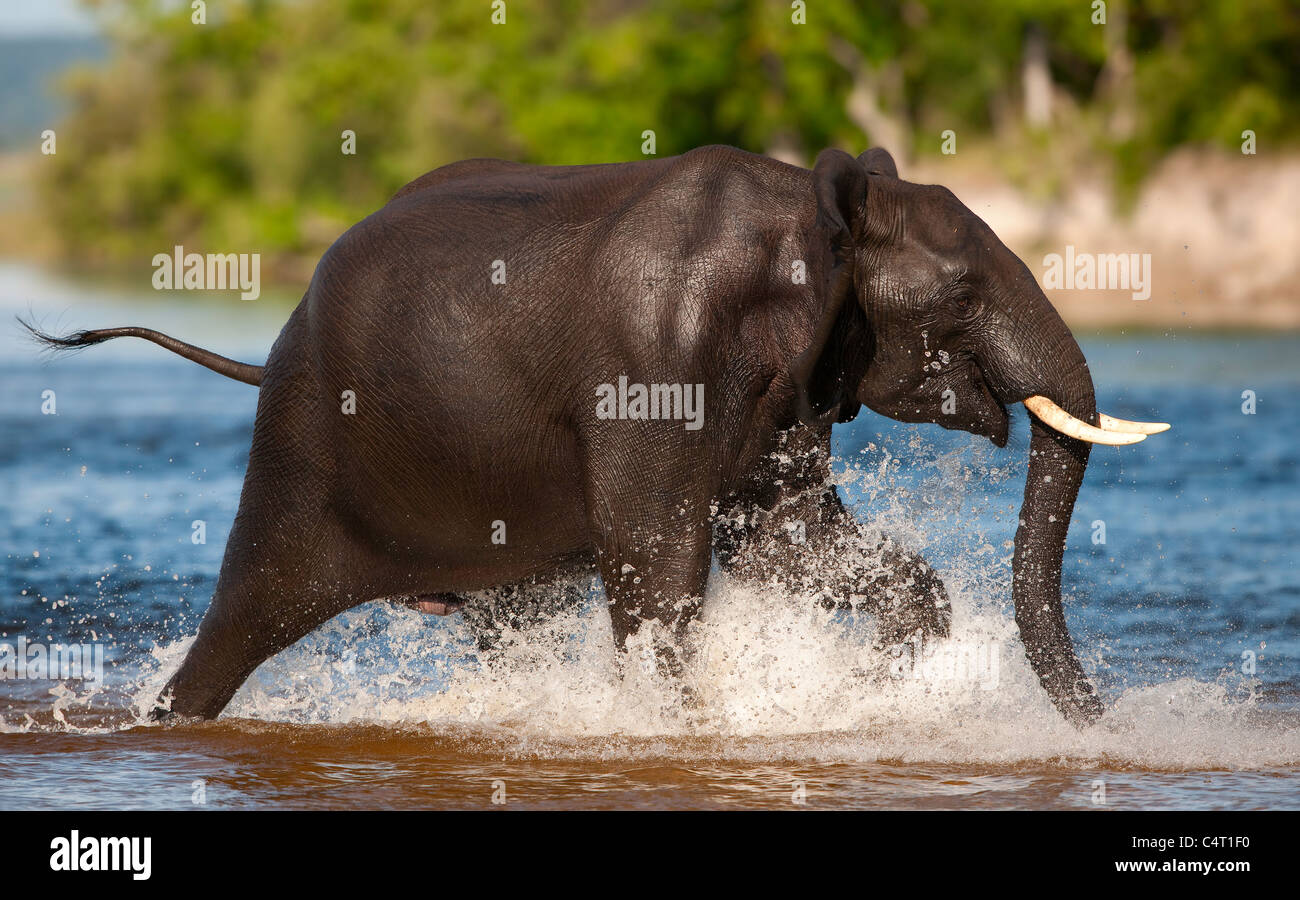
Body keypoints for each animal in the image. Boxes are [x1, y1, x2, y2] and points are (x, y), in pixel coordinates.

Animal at [26, 144, 1167, 726]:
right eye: (965, 292)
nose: (1096, 727)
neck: (804, 210)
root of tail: (274, 347)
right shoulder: (651, 368)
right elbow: (659, 569)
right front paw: (683, 730)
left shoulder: (783, 385)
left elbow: (789, 539)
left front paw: (872, 680)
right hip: (305, 440)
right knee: (248, 614)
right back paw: (167, 720)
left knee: (506, 614)